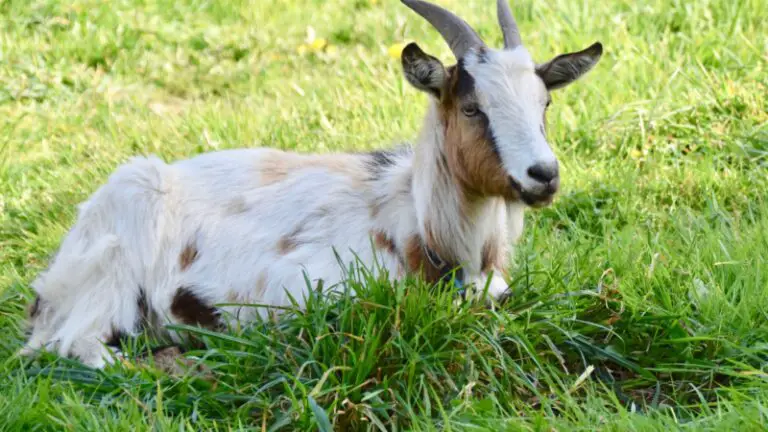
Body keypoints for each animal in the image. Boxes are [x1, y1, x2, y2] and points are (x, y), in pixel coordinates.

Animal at [20, 0, 603, 368]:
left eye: (545, 104)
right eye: (472, 107)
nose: (544, 175)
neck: (420, 226)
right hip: (111, 274)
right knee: (78, 346)